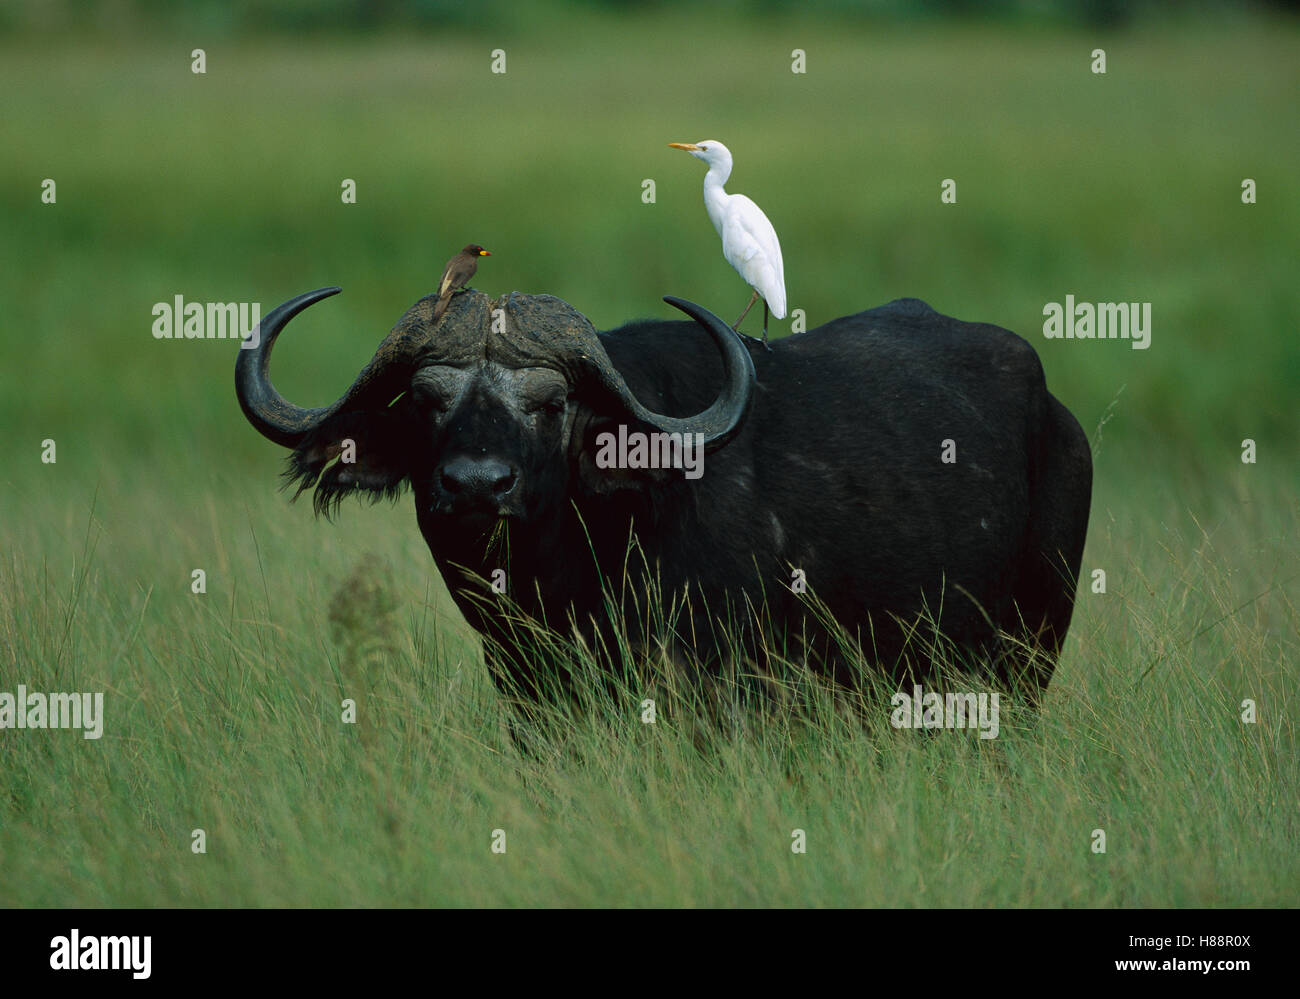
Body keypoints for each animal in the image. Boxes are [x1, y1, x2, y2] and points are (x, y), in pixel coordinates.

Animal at [235, 286, 1092, 714]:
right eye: (423, 401)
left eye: (552, 403)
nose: (477, 484)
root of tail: (1059, 416)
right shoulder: (525, 683)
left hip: (1030, 649)